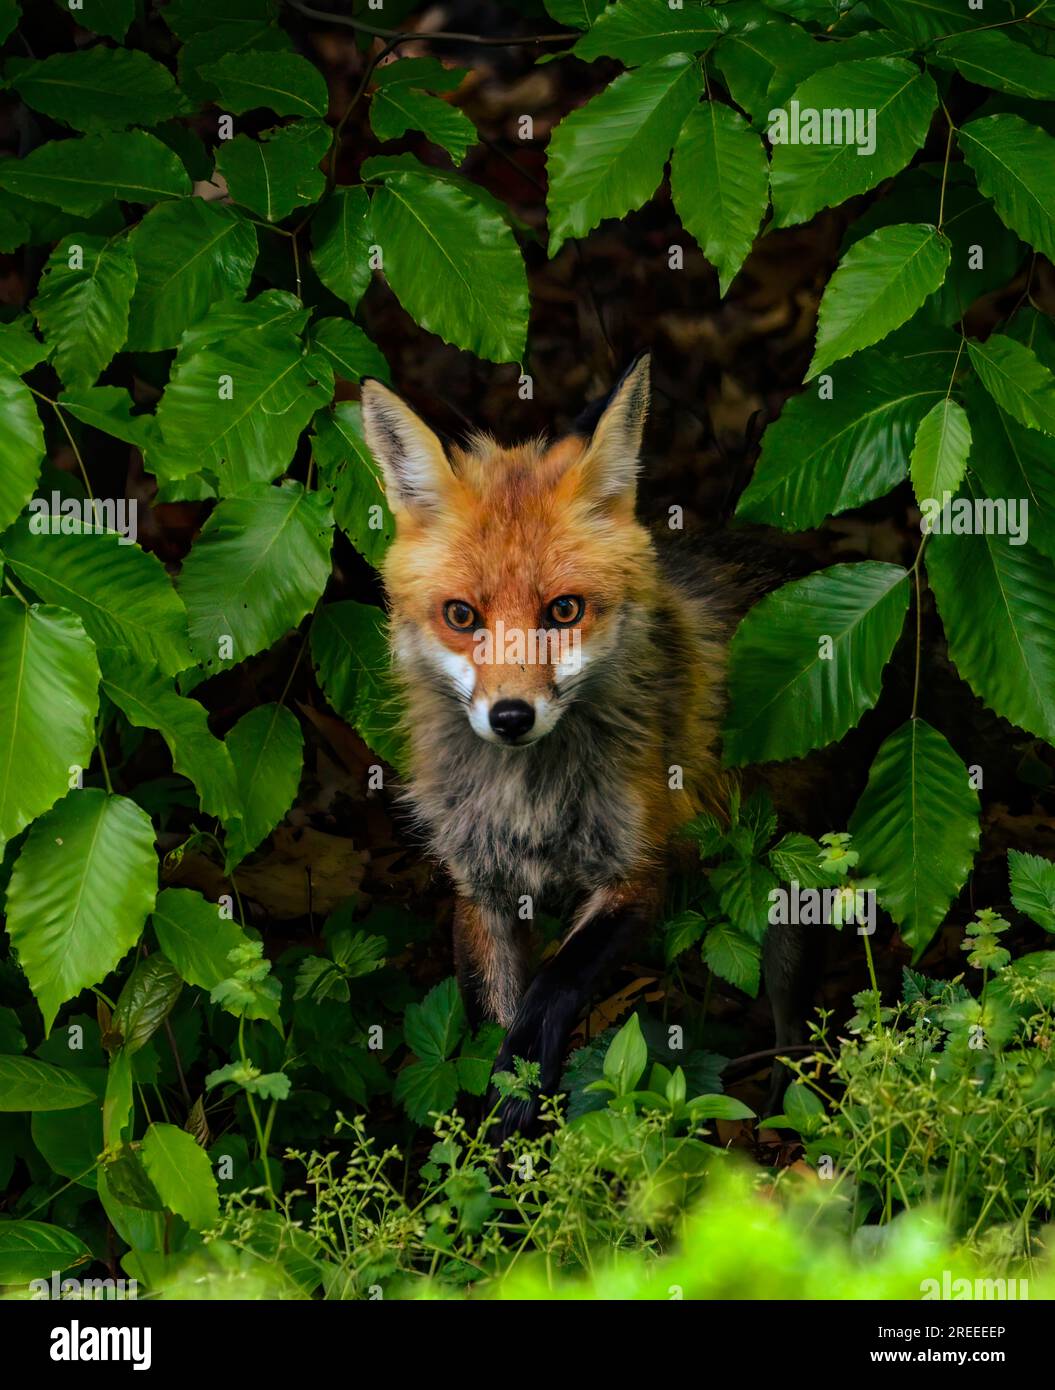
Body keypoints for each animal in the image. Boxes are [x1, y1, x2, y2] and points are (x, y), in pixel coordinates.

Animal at [360, 354, 810, 1135]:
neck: (529, 799)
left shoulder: (639, 862)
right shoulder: (481, 886)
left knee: (794, 1021)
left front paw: (522, 1092)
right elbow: (491, 1017)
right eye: (461, 616)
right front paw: (502, 1153)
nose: (510, 716)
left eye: (563, 610)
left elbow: (555, 985)